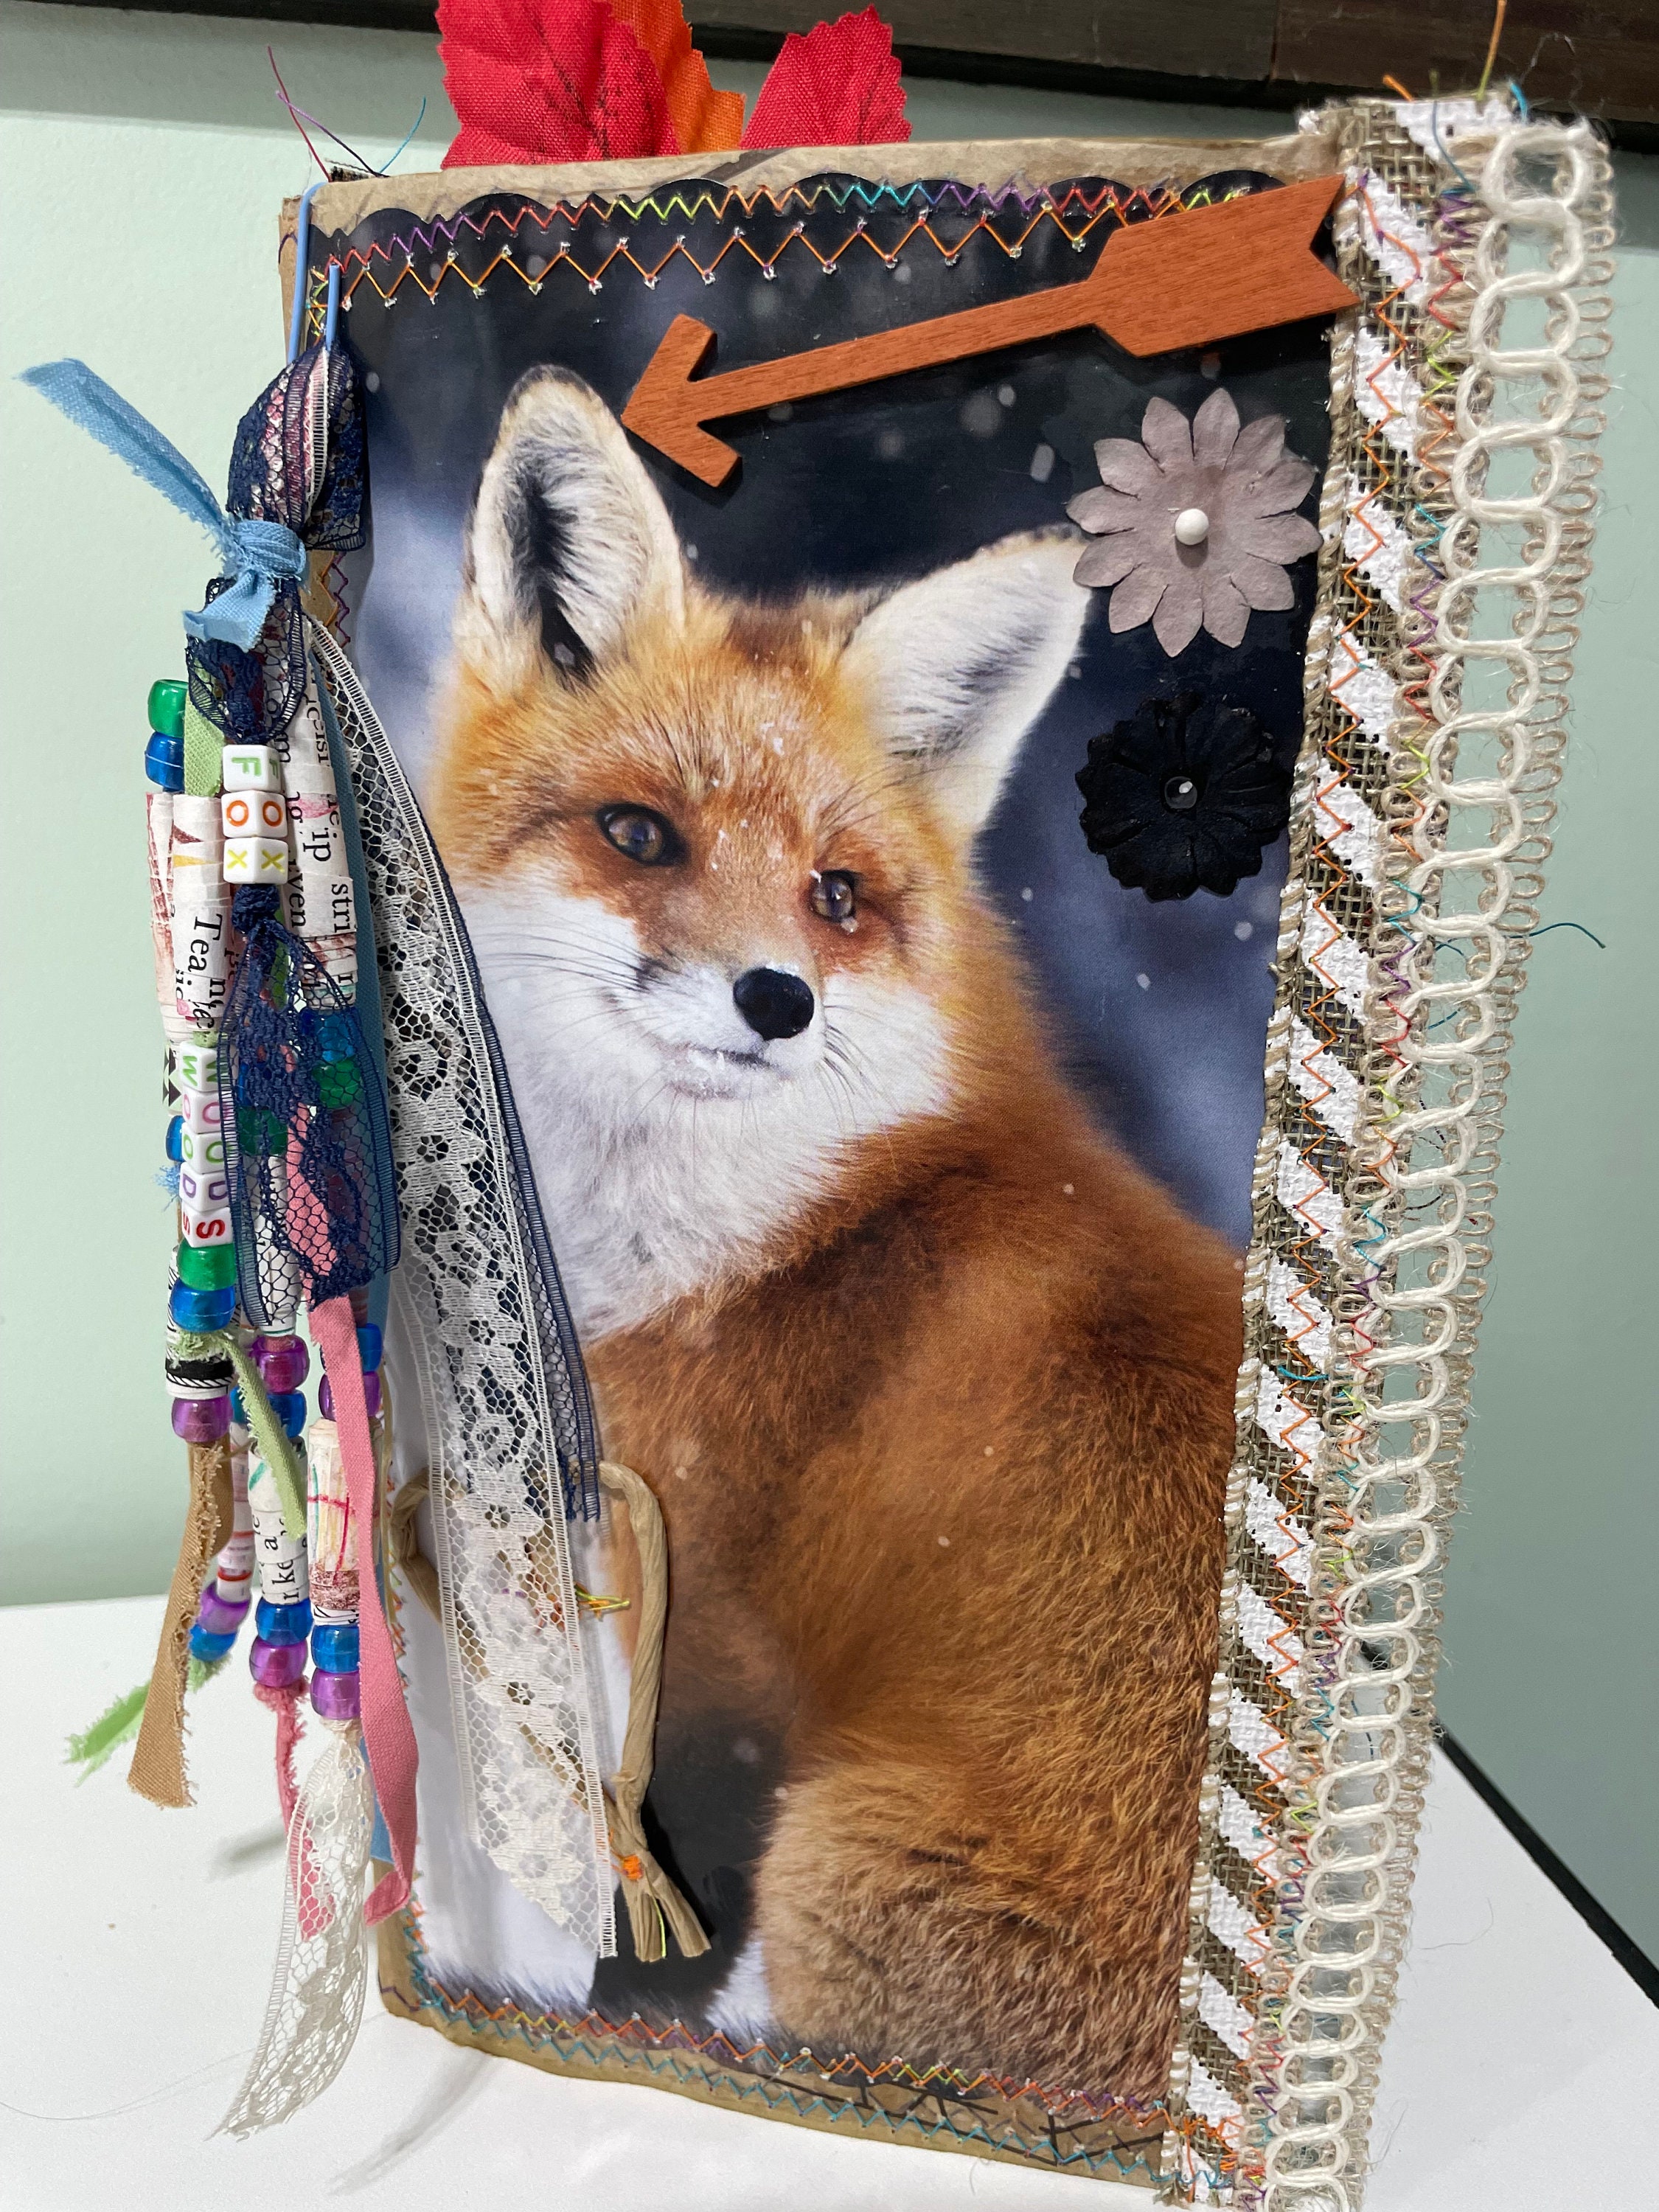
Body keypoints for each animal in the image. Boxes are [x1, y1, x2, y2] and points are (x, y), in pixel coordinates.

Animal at [425, 367, 1243, 2104]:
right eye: (641, 835)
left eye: (836, 895)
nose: (777, 1000)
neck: (764, 1241)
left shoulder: (723, 1652)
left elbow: (650, 1917)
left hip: (835, 1869)